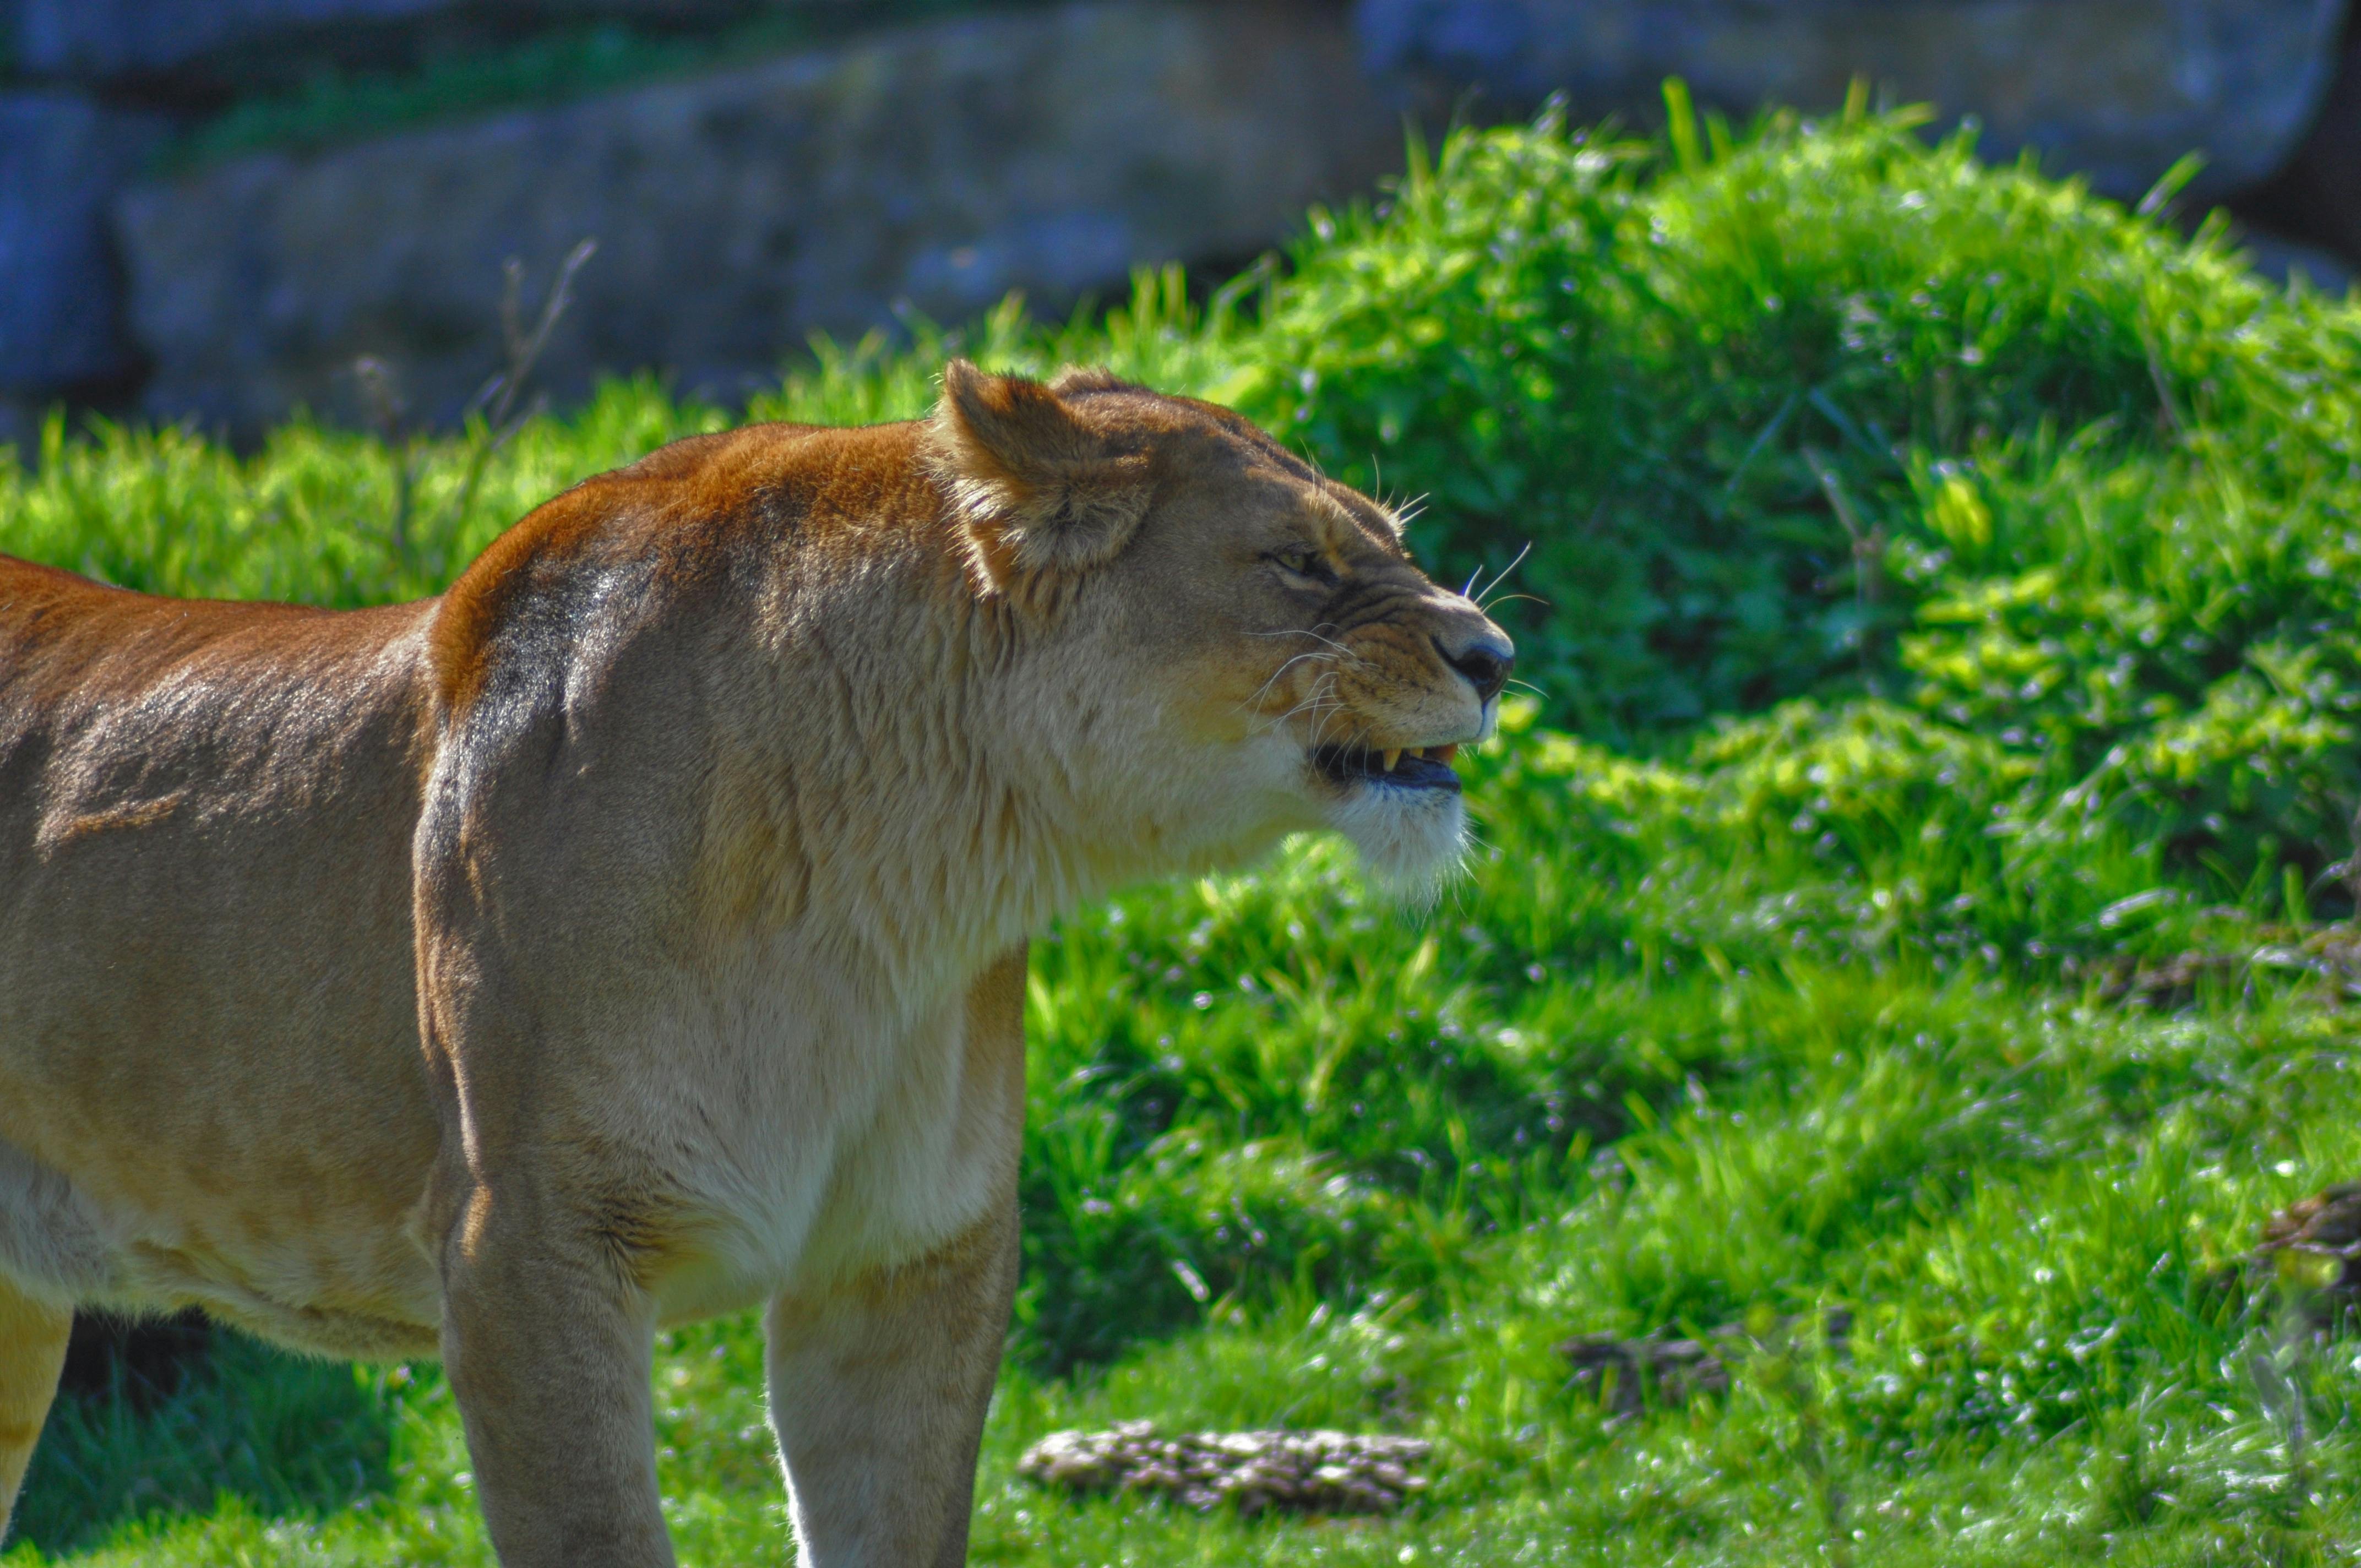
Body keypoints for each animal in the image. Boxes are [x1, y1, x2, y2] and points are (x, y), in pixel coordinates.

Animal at [0, 362, 1511, 1566]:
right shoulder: (522, 1252)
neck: (889, 887)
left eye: (1386, 540)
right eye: (1298, 561)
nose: (1494, 650)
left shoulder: (908, 1255)